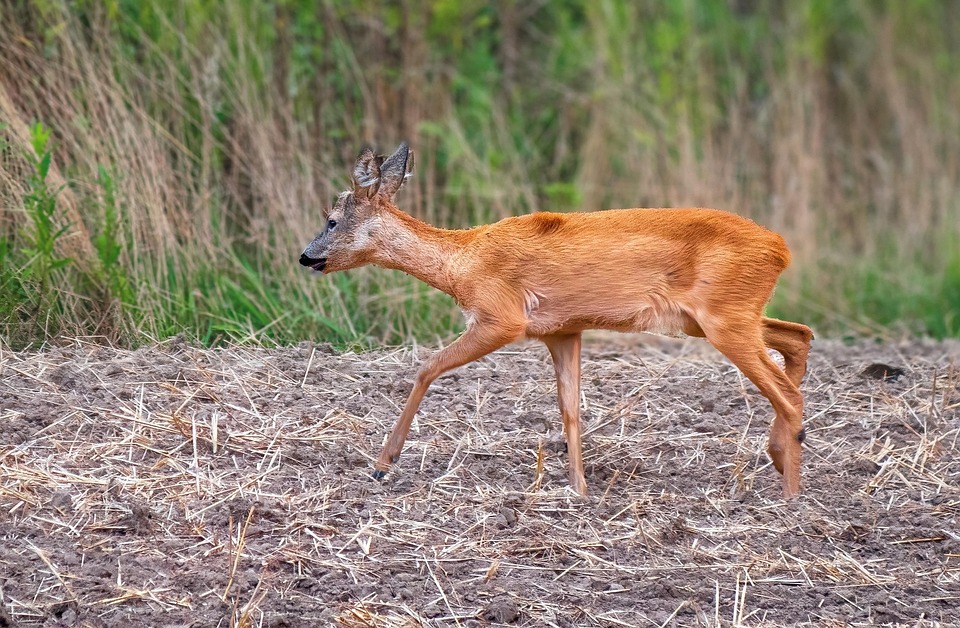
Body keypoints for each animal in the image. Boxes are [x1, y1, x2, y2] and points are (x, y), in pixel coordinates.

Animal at [299, 143, 814, 498]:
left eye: (331, 219)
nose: (306, 257)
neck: (463, 262)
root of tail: (781, 249)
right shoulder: (564, 331)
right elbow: (570, 408)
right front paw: (580, 489)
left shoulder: (501, 317)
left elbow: (427, 366)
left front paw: (383, 462)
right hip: (717, 318)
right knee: (800, 337)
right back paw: (779, 456)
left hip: (723, 319)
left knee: (789, 392)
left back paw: (790, 498)